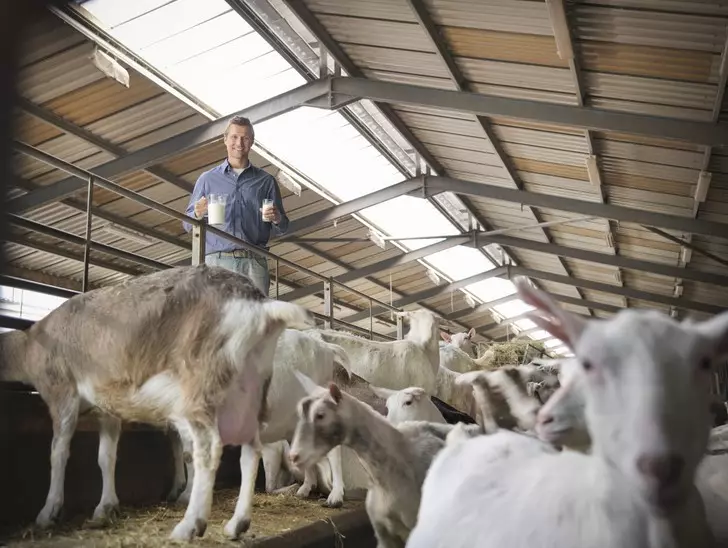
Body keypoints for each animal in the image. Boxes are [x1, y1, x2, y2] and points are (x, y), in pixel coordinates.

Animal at [0, 264, 312, 540]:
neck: (30, 346)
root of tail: (260, 306)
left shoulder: (60, 390)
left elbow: (58, 452)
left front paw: (48, 512)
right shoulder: (107, 408)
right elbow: (106, 457)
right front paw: (105, 508)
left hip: (201, 387)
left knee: (209, 449)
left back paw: (191, 525)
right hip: (251, 391)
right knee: (250, 452)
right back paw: (238, 524)